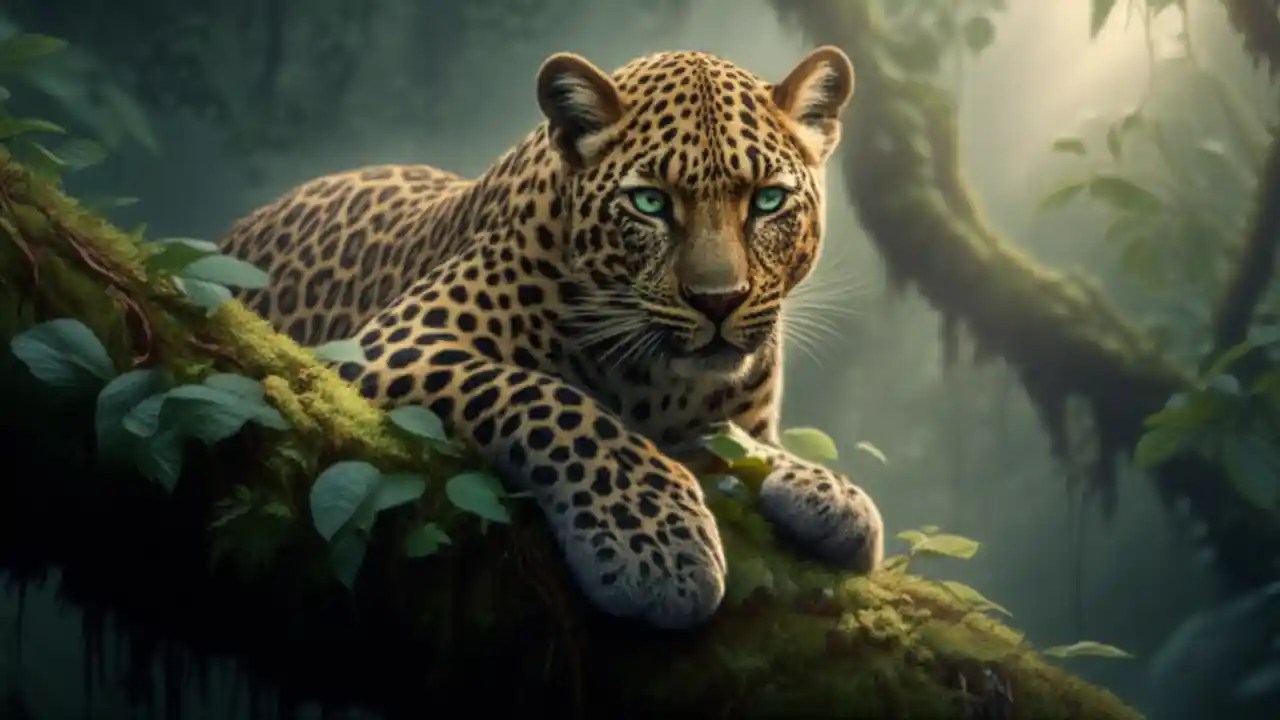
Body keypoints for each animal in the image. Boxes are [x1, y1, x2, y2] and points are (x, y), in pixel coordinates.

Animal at [218, 46, 885, 630]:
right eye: (650, 203)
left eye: (768, 201)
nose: (717, 301)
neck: (662, 384)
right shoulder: (399, 342)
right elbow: (560, 404)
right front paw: (655, 545)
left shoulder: (733, 420)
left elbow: (740, 443)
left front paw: (831, 492)